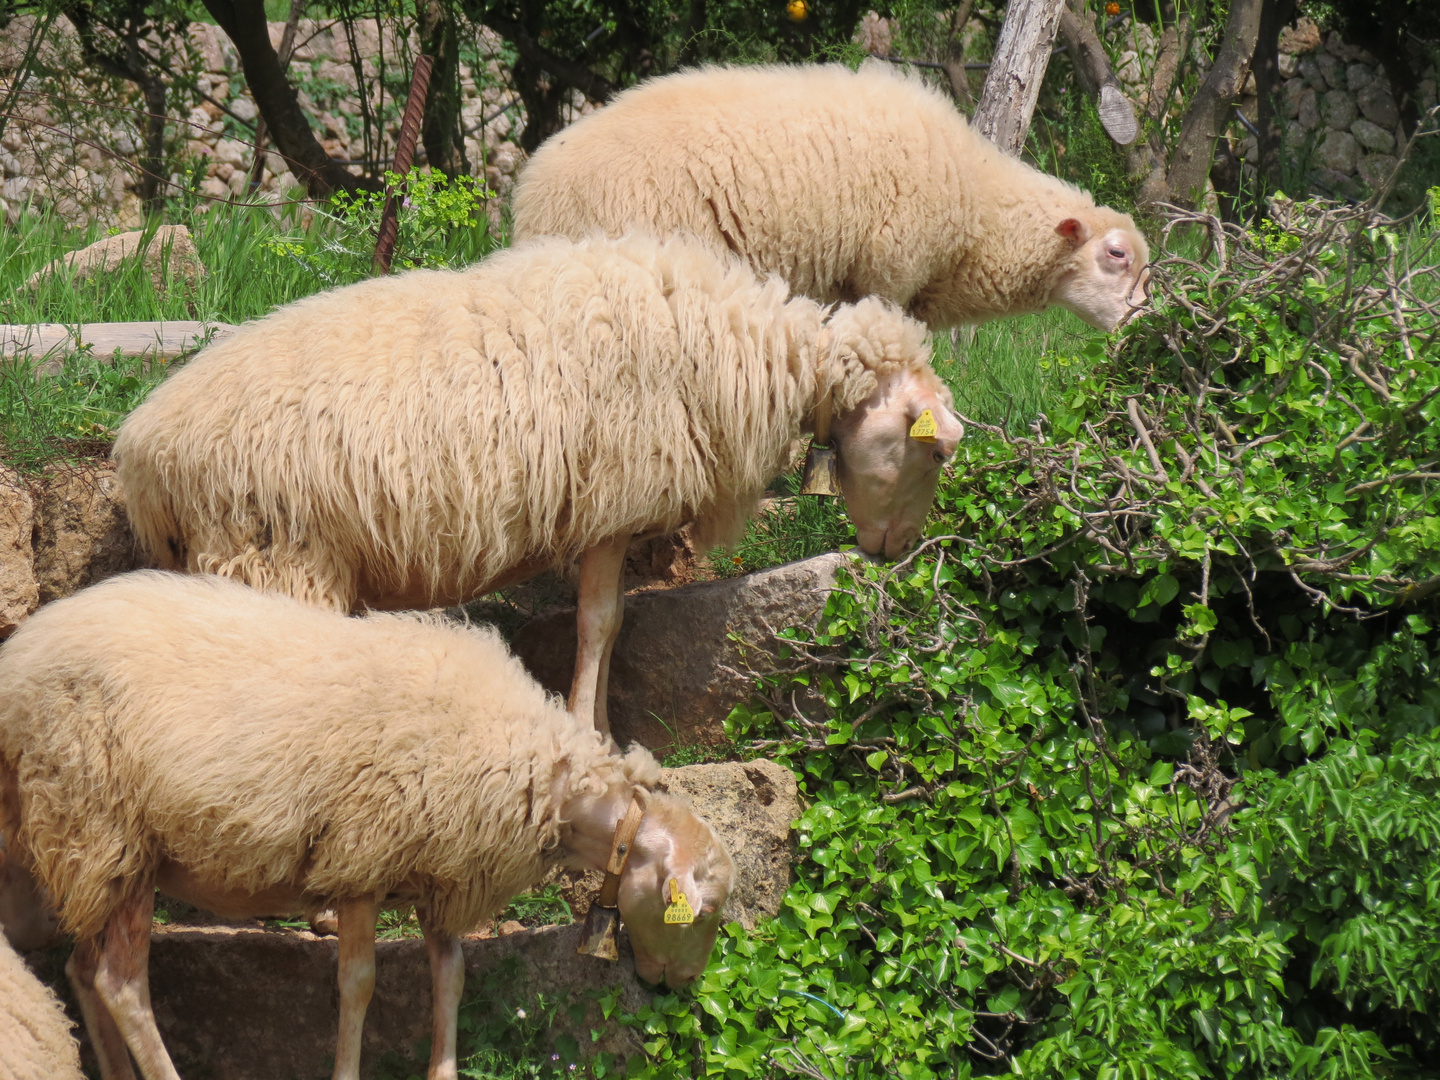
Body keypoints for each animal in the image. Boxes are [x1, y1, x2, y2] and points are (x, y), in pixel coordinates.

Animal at [114, 233, 962, 735]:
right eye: (936, 452)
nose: (895, 551)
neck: (741, 346)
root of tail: (141, 450)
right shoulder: (616, 497)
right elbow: (600, 623)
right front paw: (588, 729)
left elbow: (606, 626)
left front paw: (600, 730)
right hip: (273, 553)